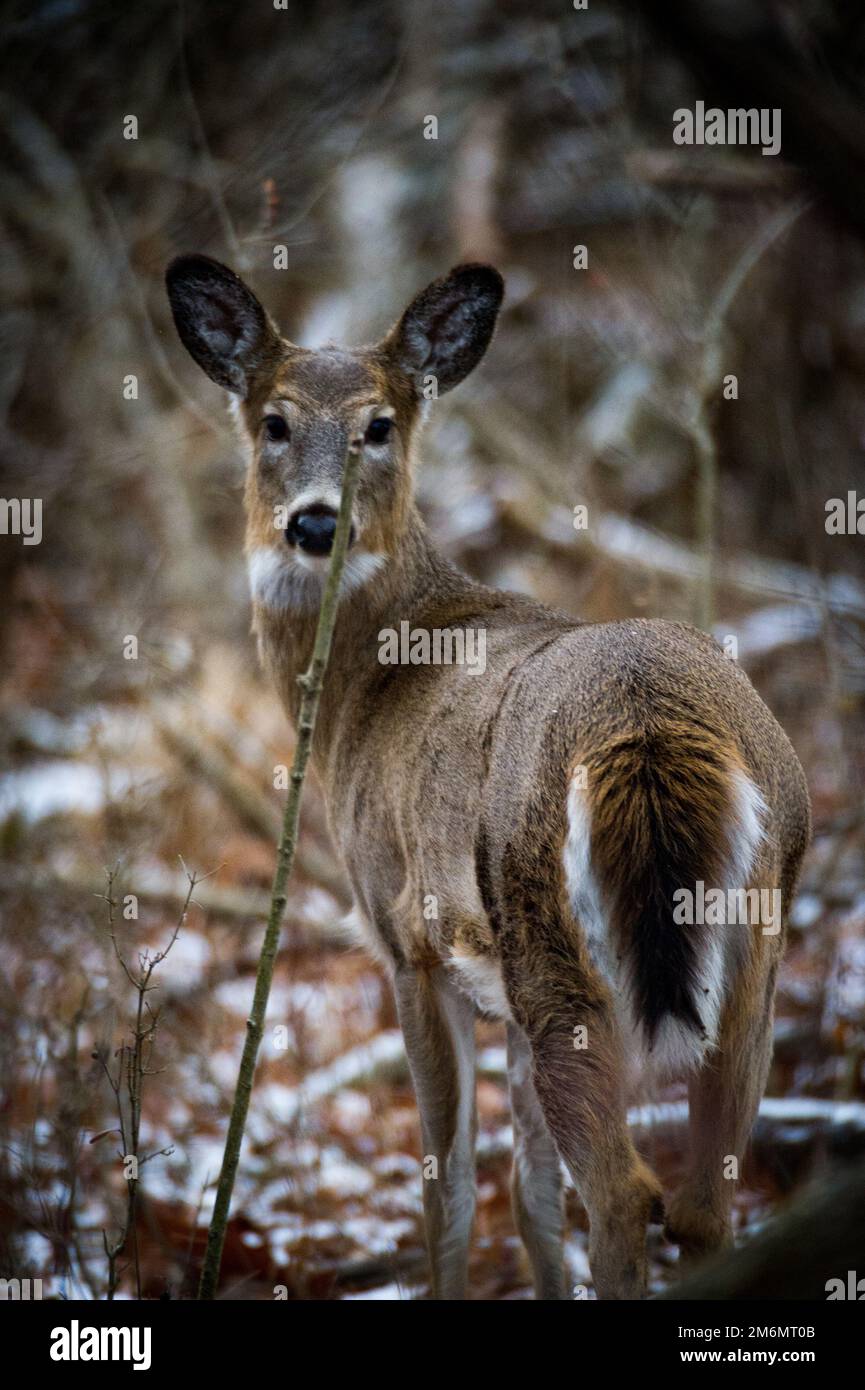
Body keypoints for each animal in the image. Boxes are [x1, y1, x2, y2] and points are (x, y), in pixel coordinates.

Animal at [166, 254, 811, 1300]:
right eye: (273, 419)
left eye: (378, 424)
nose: (315, 523)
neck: (370, 683)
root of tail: (651, 727)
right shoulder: (493, 988)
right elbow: (531, 1193)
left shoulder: (404, 940)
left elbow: (452, 1188)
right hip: (754, 946)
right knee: (704, 1204)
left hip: (552, 952)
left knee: (625, 1195)